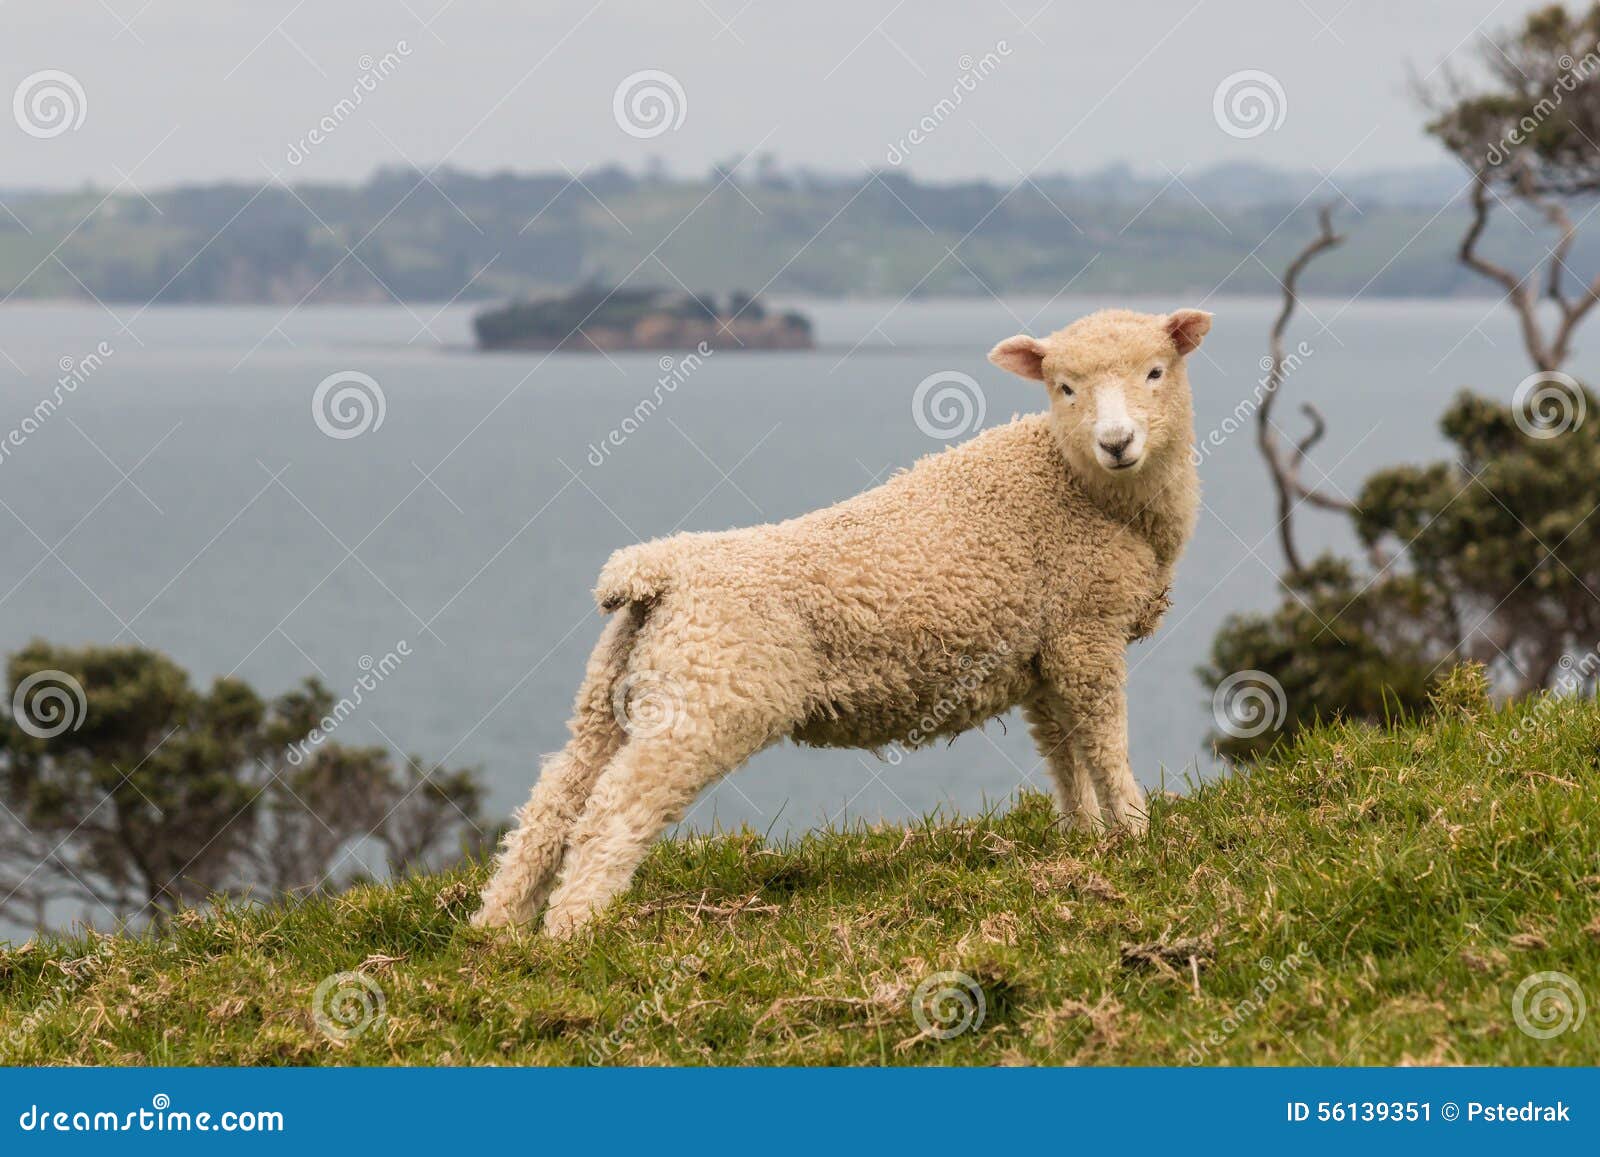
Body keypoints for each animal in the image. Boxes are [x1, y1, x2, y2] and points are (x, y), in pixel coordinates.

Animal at [473, 307, 1211, 938]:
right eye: (1064, 388)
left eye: (1156, 371)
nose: (1116, 442)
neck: (1084, 489)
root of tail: (658, 566)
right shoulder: (1085, 635)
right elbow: (1106, 746)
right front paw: (1136, 836)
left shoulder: (1046, 650)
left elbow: (1065, 756)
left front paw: (1083, 838)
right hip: (703, 702)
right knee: (609, 814)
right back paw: (572, 932)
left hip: (615, 693)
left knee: (550, 807)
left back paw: (498, 929)